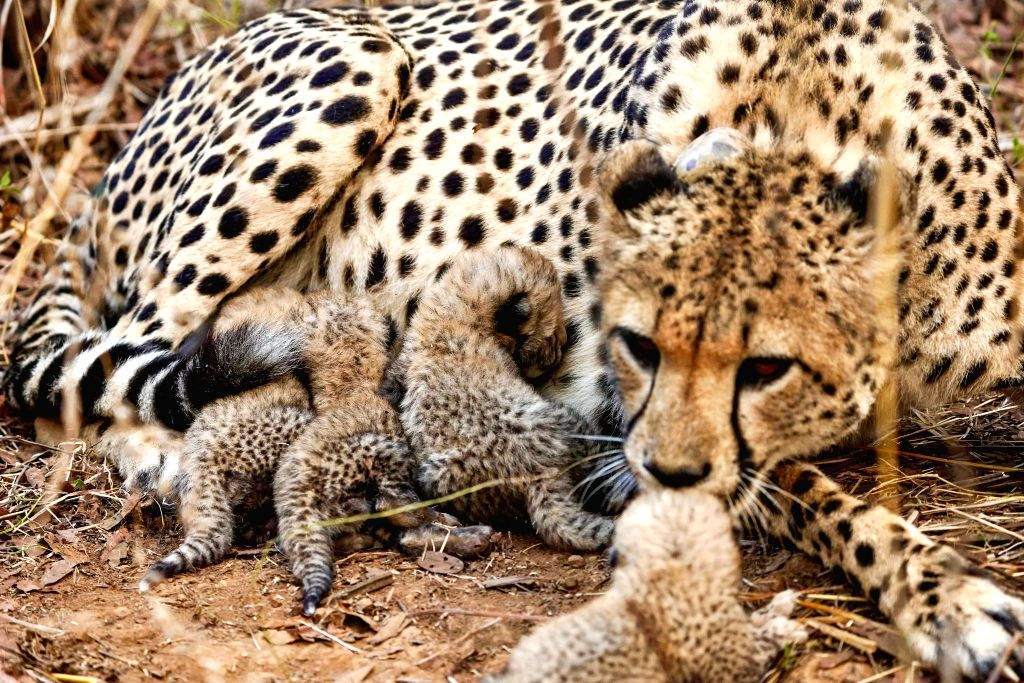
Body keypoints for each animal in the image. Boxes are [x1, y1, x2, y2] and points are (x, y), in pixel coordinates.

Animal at [395, 245, 615, 551]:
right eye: (555, 330)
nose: (557, 354)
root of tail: (539, 475)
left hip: (435, 475)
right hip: (567, 420)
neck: (457, 312)